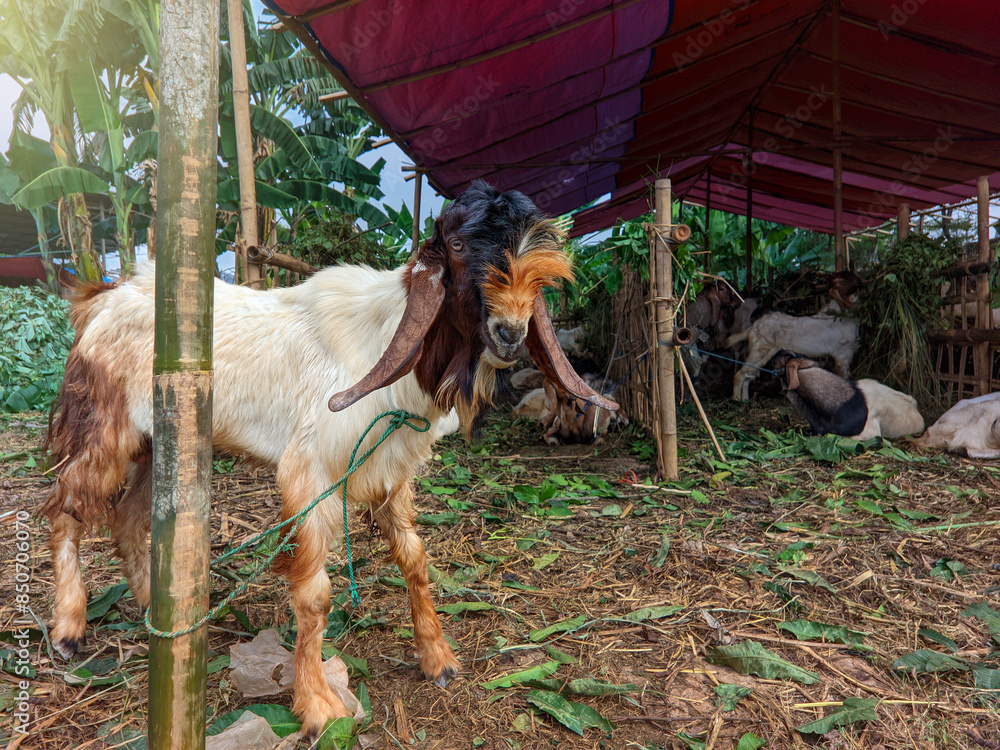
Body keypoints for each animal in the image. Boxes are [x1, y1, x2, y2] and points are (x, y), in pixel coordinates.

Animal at [41, 181, 616, 739]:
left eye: (538, 268)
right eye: (456, 245)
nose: (510, 333)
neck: (382, 338)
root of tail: (100, 301)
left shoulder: (388, 468)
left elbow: (414, 557)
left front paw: (438, 659)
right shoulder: (310, 472)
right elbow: (315, 594)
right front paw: (318, 705)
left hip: (158, 444)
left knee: (126, 517)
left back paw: (151, 606)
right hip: (104, 429)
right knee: (65, 508)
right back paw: (69, 628)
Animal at [726, 303, 858, 401]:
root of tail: (755, 326)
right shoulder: (842, 357)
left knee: (748, 376)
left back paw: (745, 400)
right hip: (760, 353)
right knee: (740, 375)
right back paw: (737, 400)